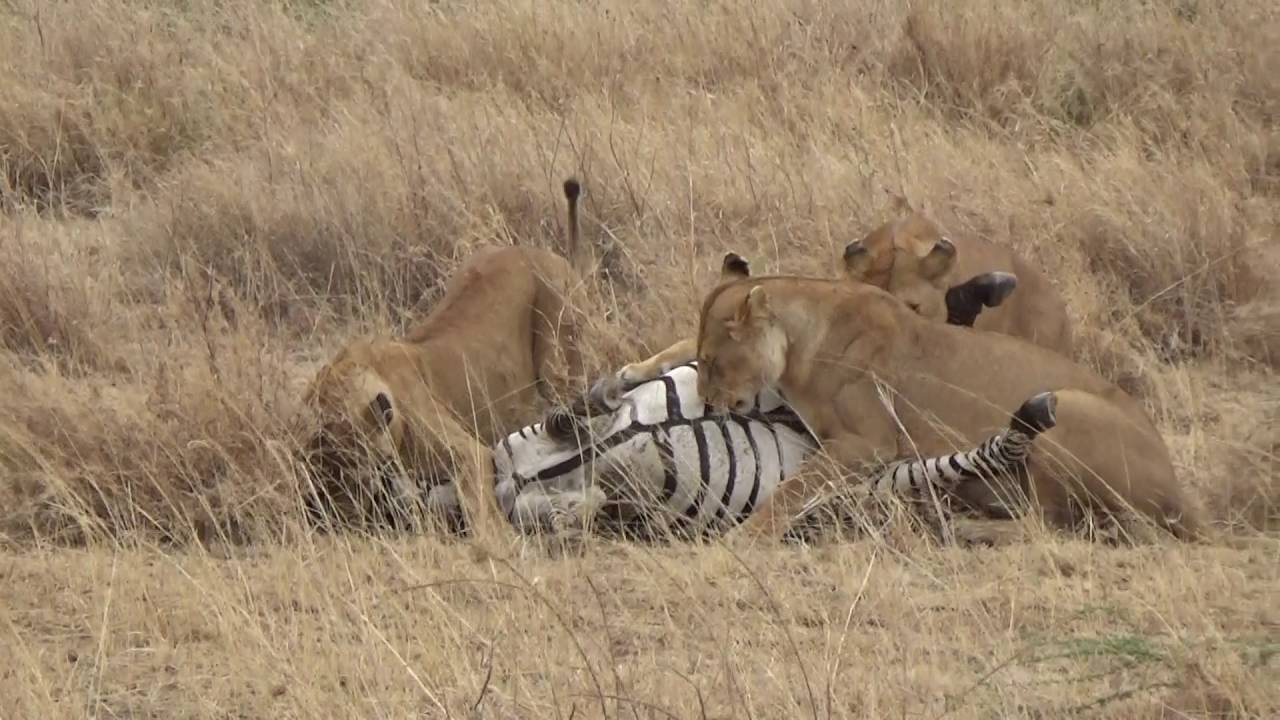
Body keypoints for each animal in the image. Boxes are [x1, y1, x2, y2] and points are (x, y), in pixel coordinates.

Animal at [299, 179, 592, 547]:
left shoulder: (470, 453)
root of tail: (552, 256)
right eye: (321, 476)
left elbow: (479, 508)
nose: (333, 519)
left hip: (559, 362)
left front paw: (497, 543)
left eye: (353, 474)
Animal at [691, 273, 1206, 545]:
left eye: (713, 361)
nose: (706, 402)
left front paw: (744, 536)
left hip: (1068, 410)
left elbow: (794, 488)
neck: (800, 345)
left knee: (1046, 525)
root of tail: (1180, 493)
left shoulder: (869, 442)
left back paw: (967, 527)